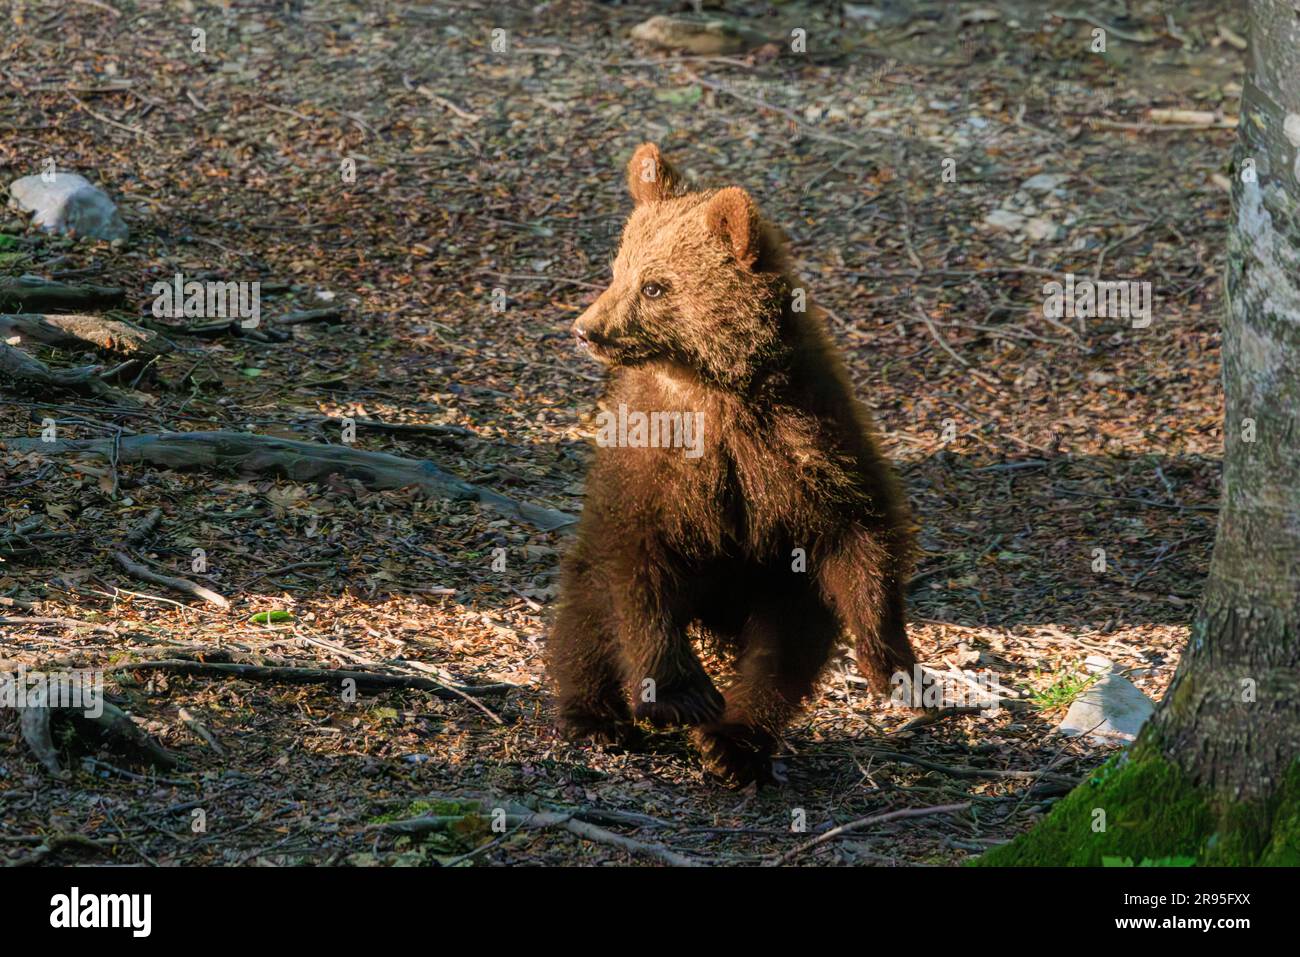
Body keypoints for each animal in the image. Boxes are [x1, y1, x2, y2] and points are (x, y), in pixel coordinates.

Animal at [547, 142, 919, 785]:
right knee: (586, 613)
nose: (587, 330)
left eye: (655, 286)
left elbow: (862, 532)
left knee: (781, 658)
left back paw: (733, 743)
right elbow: (635, 569)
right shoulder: (652, 466)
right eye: (619, 268)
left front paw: (891, 664)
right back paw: (598, 718)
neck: (713, 388)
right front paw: (679, 694)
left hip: (778, 586)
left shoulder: (807, 442)